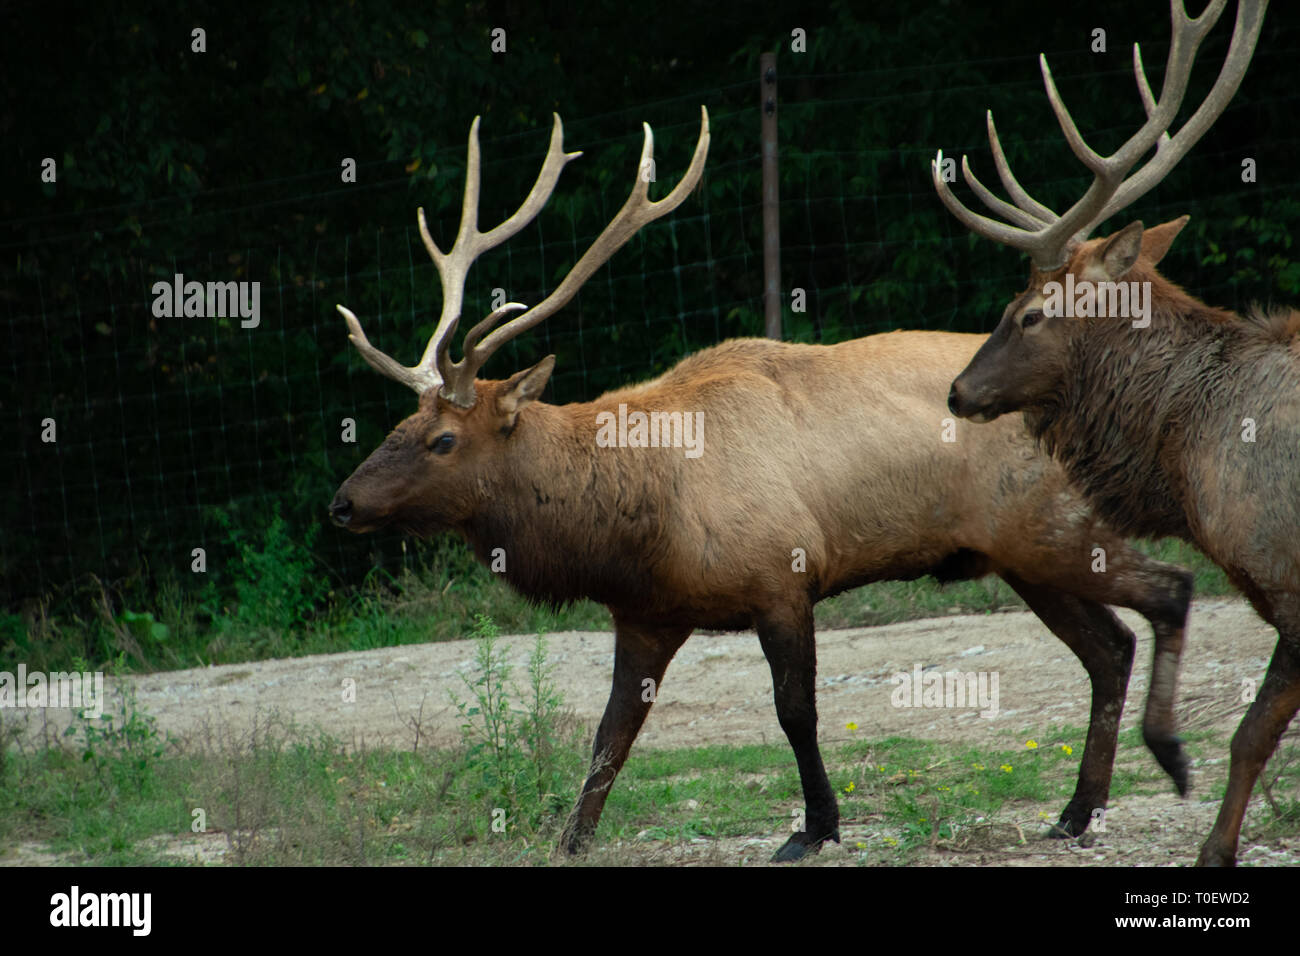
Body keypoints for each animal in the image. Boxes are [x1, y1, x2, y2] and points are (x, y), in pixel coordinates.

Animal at [330, 106, 1196, 862]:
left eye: (442, 438)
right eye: (397, 424)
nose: (341, 503)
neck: (632, 524)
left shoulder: (782, 576)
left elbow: (795, 712)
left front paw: (815, 828)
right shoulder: (647, 615)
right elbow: (610, 737)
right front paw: (570, 839)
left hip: (1055, 527)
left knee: (1169, 591)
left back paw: (1168, 765)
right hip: (1023, 554)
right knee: (1109, 647)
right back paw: (1078, 812)